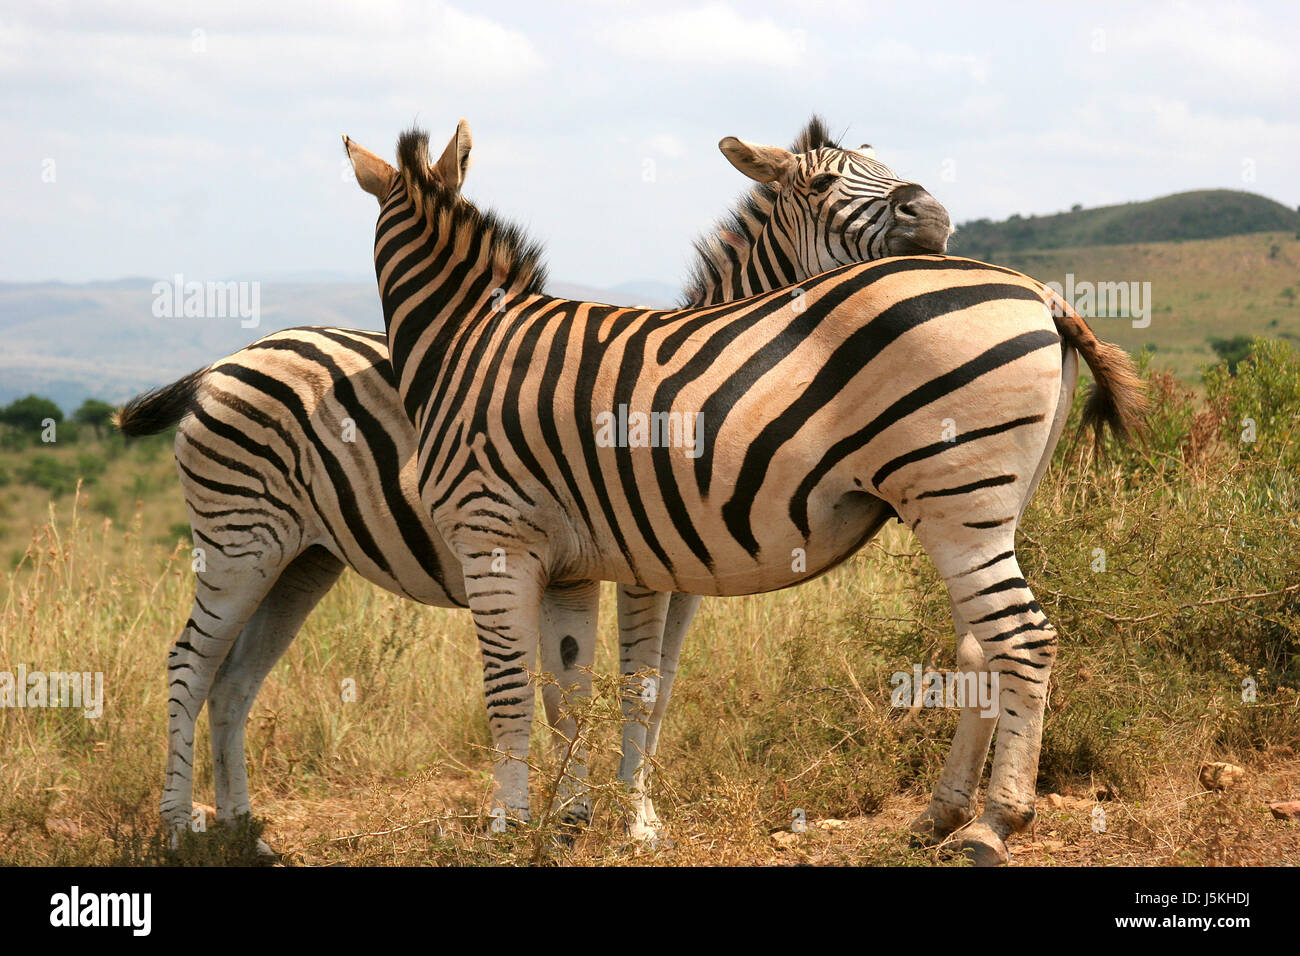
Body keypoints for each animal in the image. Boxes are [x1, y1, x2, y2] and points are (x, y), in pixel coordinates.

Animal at [117, 117, 952, 846]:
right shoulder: (635, 569)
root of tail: (229, 358)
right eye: (821, 183)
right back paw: (179, 826)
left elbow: (634, 689)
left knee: (235, 679)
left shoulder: (664, 576)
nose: (935, 214)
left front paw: (606, 810)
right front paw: (630, 820)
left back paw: (241, 828)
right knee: (190, 663)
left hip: (302, 559)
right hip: (239, 542)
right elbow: (621, 687)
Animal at [343, 118, 1145, 865]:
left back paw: (994, 824)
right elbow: (575, 690)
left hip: (958, 497)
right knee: (984, 649)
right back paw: (939, 816)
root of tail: (1041, 295)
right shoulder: (589, 563)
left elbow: (517, 689)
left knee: (1025, 640)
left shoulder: (498, 539)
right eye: (821, 183)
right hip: (981, 510)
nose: (933, 215)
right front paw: (577, 820)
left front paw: (514, 828)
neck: (466, 344)